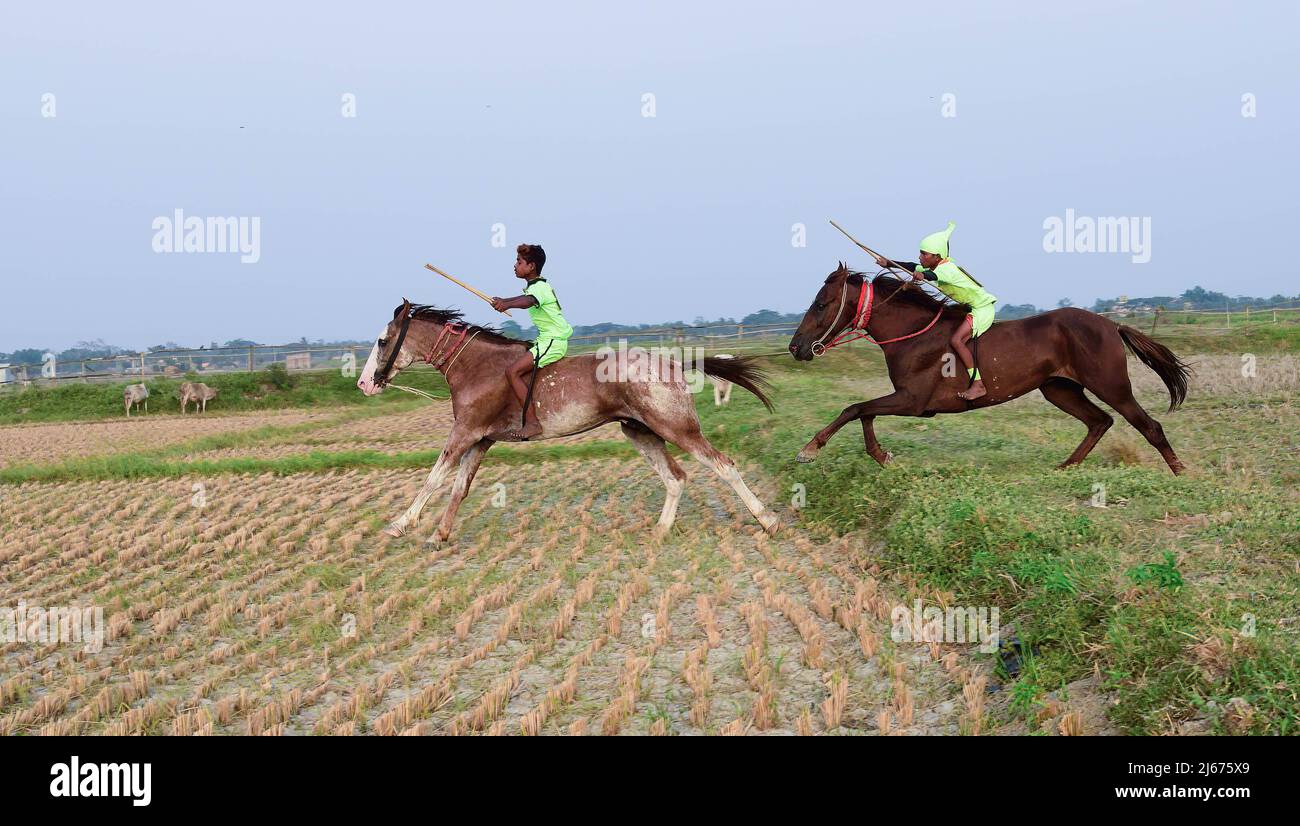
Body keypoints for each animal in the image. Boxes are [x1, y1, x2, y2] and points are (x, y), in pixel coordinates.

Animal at [355, 300, 781, 542]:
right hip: (639, 431)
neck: (475, 366)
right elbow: (459, 487)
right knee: (675, 477)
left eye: (381, 341)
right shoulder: (480, 439)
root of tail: (673, 362)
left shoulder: (465, 432)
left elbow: (432, 480)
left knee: (723, 465)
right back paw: (660, 531)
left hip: (676, 427)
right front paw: (440, 533)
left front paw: (400, 524)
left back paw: (768, 521)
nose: (364, 383)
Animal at [787, 264, 1190, 473]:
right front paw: (881, 454)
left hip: (1110, 384)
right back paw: (1066, 466)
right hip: (1058, 388)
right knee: (1099, 421)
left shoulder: (913, 400)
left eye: (821, 303)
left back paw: (1179, 471)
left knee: (1149, 426)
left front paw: (810, 448)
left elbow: (854, 408)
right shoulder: (908, 399)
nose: (795, 347)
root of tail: (1111, 324)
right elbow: (863, 412)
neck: (912, 333)